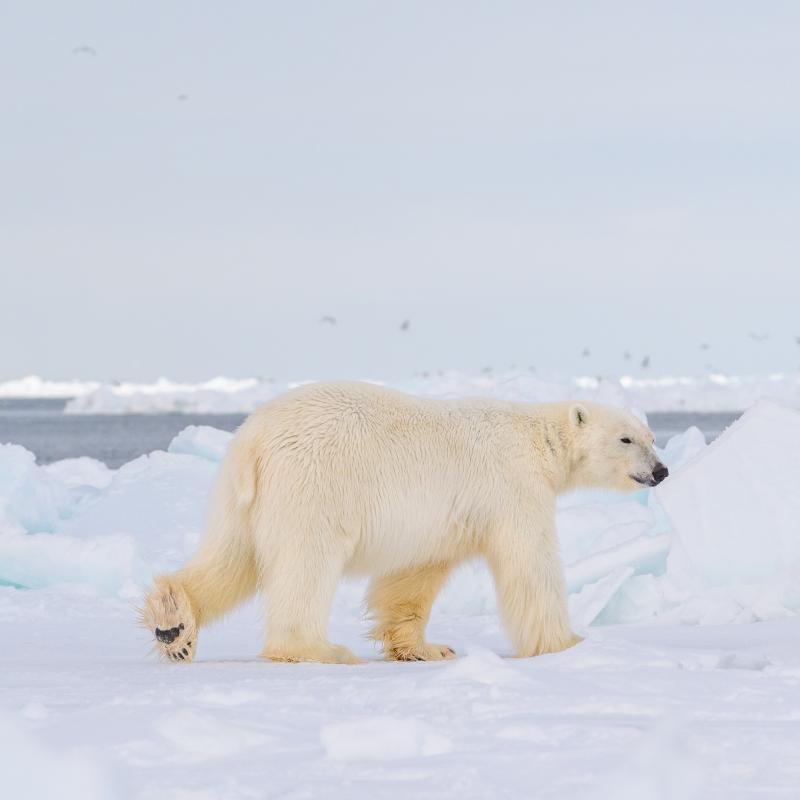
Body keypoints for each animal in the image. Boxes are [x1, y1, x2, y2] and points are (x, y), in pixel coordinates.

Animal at [141, 381, 667, 664]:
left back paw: (173, 625)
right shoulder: (511, 488)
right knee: (305, 565)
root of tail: (254, 437)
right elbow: (529, 564)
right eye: (625, 439)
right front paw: (567, 642)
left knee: (232, 558)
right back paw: (318, 649)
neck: (539, 440)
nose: (661, 471)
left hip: (242, 498)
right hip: (314, 484)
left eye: (651, 436)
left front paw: (425, 648)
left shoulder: (442, 516)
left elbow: (415, 574)